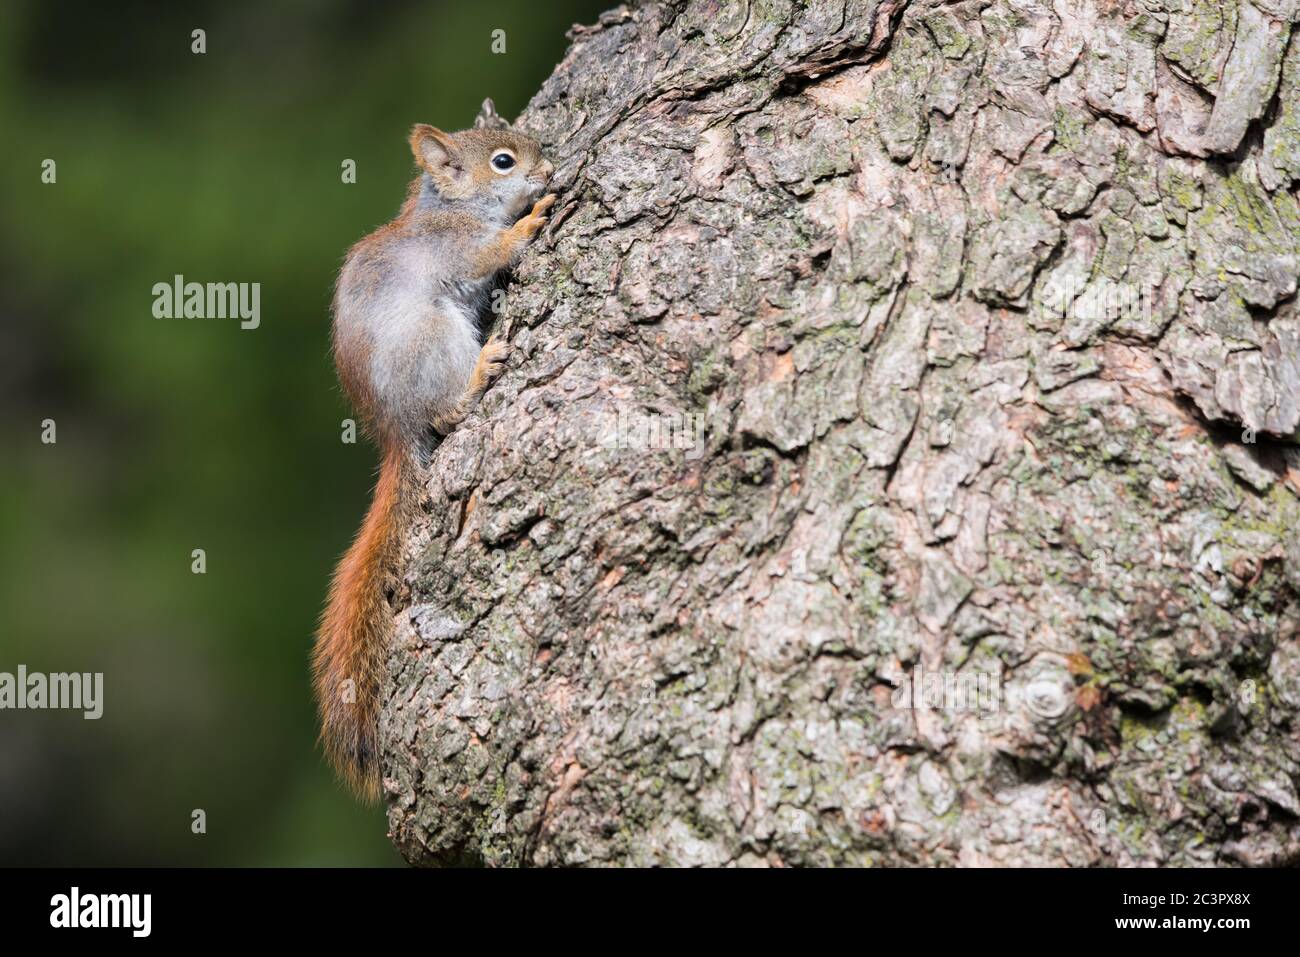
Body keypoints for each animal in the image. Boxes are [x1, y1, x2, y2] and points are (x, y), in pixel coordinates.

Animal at [313, 100, 555, 801]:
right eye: (502, 161)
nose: (548, 166)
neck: (451, 206)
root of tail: (396, 429)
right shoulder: (460, 247)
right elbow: (495, 249)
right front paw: (533, 217)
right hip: (434, 338)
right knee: (446, 411)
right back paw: (476, 376)